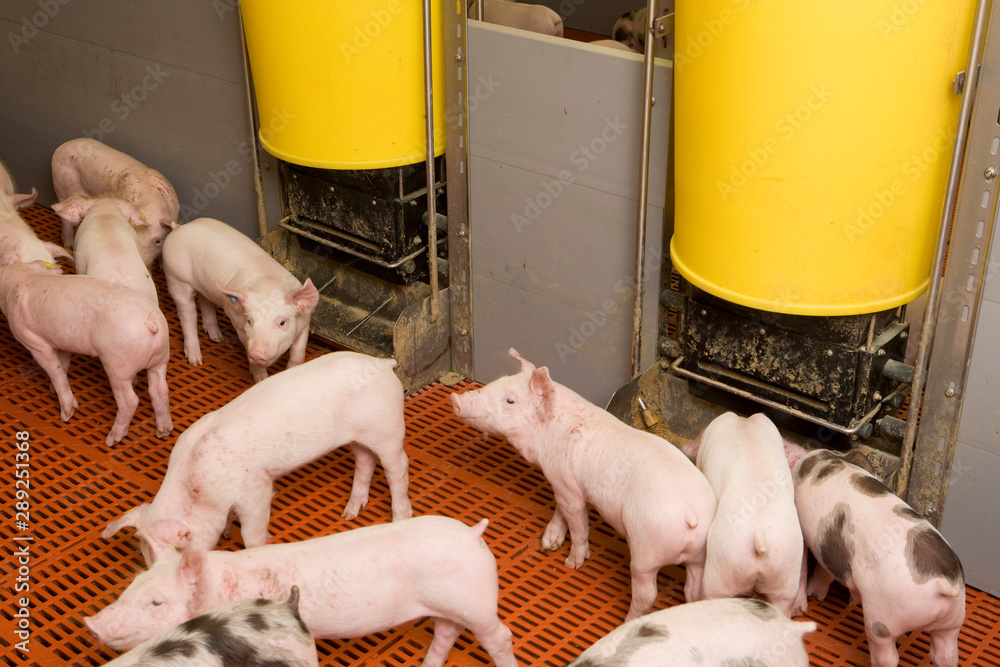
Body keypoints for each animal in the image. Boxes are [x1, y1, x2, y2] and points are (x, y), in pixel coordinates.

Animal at [0, 261, 172, 445]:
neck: (20, 278)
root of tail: (152, 323)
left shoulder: (33, 340)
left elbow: (55, 370)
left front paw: (66, 415)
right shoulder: (63, 343)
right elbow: (63, 364)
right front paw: (52, 389)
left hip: (118, 364)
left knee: (130, 401)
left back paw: (111, 440)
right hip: (161, 358)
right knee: (160, 390)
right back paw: (163, 432)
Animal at [102, 351, 412, 562]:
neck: (198, 487)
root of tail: (383, 364)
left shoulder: (256, 490)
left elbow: (253, 533)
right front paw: (227, 533)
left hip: (388, 428)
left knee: (398, 467)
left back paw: (399, 518)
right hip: (359, 437)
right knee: (365, 461)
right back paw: (348, 514)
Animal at [161, 217, 319, 384]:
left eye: (282, 322)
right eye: (249, 320)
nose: (257, 352)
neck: (267, 285)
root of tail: (178, 228)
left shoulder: (305, 322)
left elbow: (298, 353)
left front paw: (293, 370)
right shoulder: (239, 325)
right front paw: (261, 379)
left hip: (203, 287)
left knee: (205, 302)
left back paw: (217, 339)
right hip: (176, 278)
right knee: (187, 315)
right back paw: (196, 361)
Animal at [451, 348, 717, 621]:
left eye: (510, 401)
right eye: (497, 381)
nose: (456, 398)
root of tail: (691, 514)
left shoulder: (566, 483)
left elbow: (577, 523)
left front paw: (572, 563)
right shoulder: (563, 484)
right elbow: (561, 512)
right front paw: (548, 545)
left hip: (647, 548)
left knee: (646, 593)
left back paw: (627, 621)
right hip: (699, 555)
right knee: (693, 588)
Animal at [793, 449, 966, 667]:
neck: (835, 462)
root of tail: (942, 583)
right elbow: (825, 570)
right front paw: (816, 596)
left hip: (882, 620)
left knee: (887, 656)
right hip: (953, 621)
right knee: (946, 653)